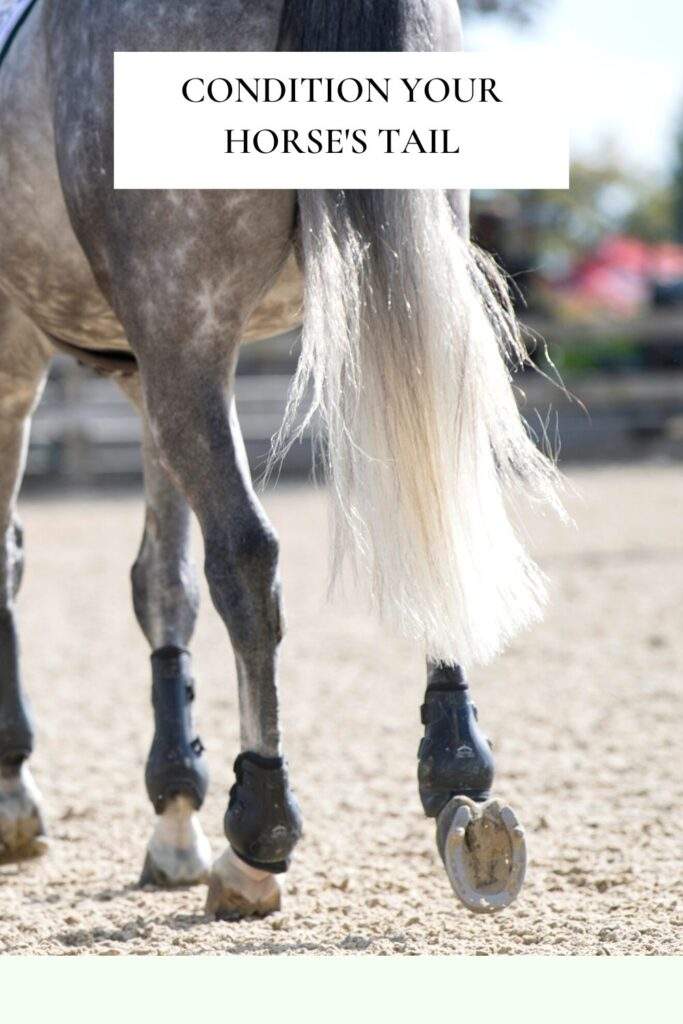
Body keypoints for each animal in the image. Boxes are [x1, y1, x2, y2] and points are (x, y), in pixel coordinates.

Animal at [0, 0, 560, 920]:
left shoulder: (29, 362)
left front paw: (19, 793)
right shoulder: (143, 375)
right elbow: (162, 585)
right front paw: (173, 816)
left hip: (184, 325)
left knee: (246, 556)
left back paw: (257, 834)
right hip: (379, 283)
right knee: (428, 499)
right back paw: (459, 789)